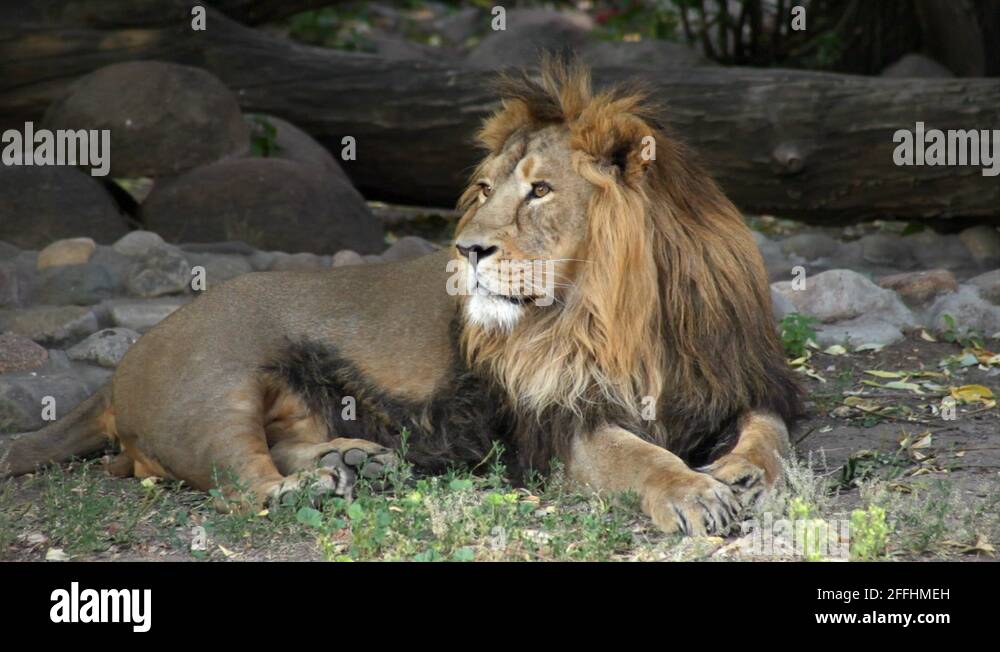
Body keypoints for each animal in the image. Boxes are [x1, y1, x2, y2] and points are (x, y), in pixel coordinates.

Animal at [0, 58, 800, 535]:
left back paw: (353, 461)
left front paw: (742, 471)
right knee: (235, 476)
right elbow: (636, 457)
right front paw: (693, 492)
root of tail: (120, 368)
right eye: (484, 190)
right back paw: (306, 490)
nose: (467, 249)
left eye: (540, 191)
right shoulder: (551, 425)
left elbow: (771, 434)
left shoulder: (742, 380)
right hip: (213, 384)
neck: (616, 312)